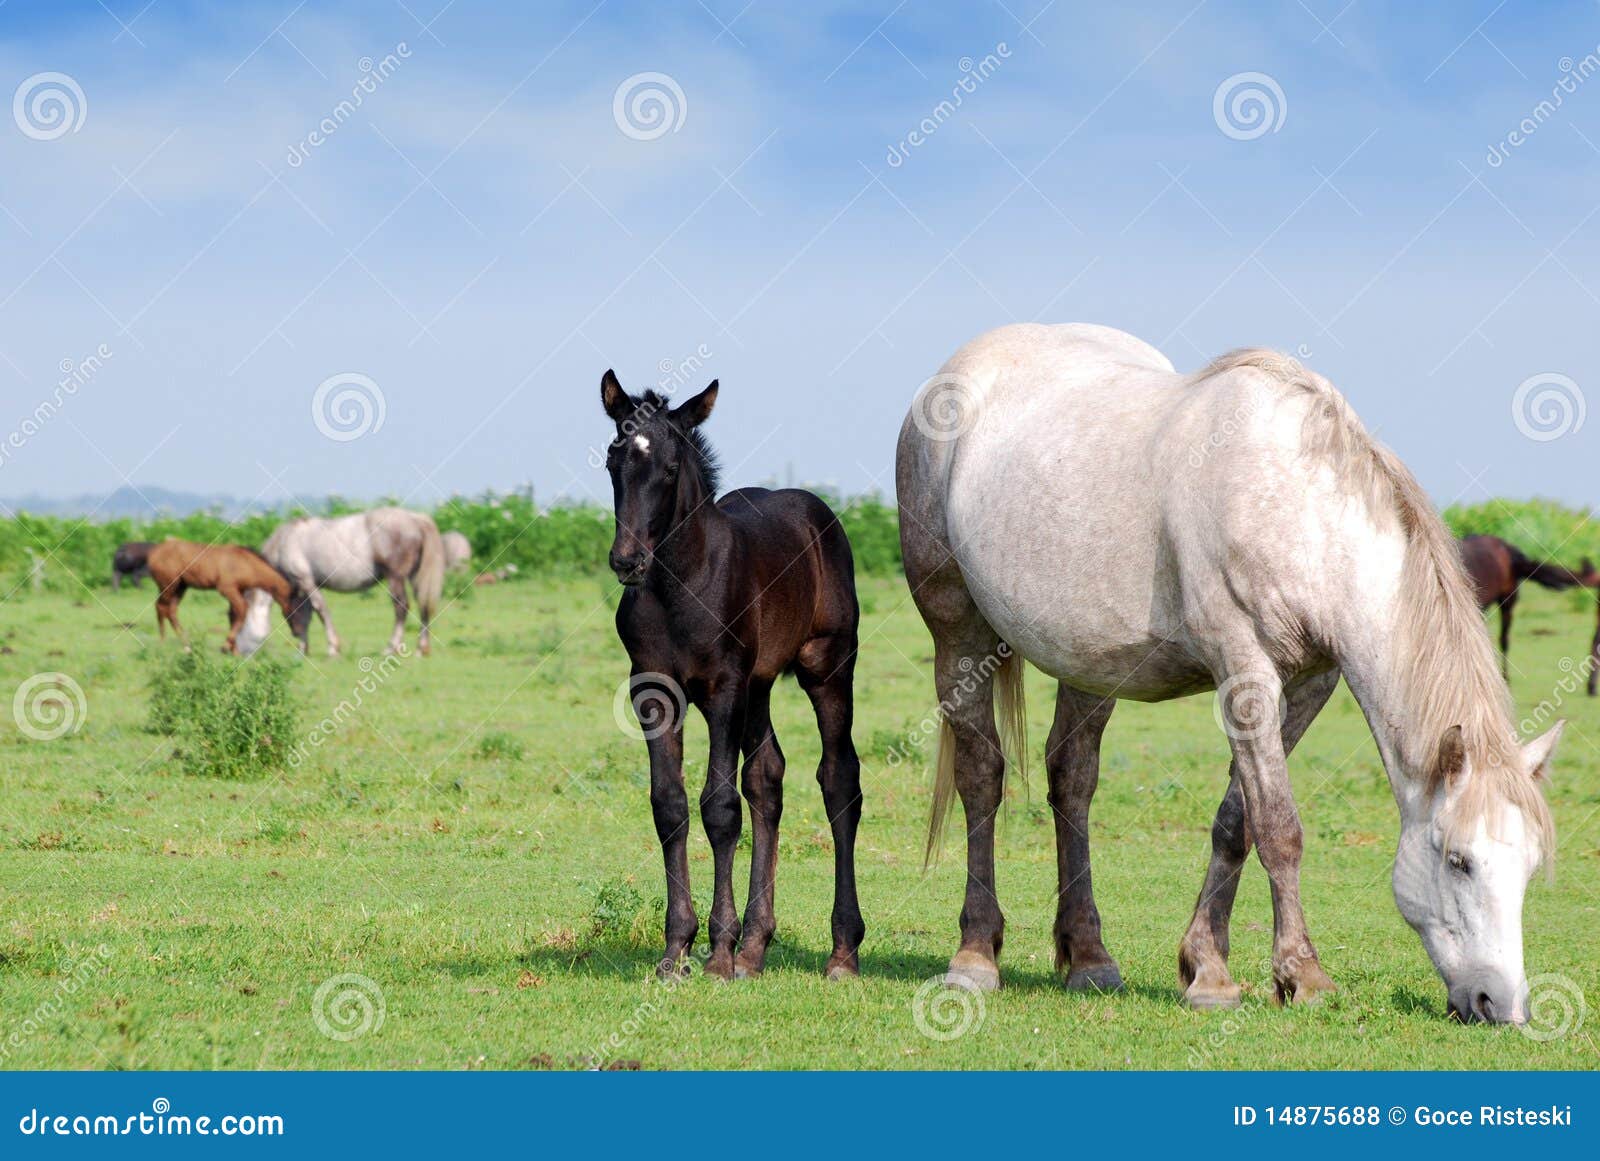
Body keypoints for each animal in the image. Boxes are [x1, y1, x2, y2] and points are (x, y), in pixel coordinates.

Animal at [146, 539, 308, 655]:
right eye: (297, 609)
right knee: (161, 607)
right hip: (169, 585)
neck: (247, 563)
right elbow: (242, 611)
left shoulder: (238, 591)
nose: (298, 632)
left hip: (180, 587)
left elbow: (235, 615)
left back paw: (185, 645)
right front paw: (226, 647)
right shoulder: (227, 589)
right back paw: (164, 641)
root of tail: (154, 553)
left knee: (170, 611)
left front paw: (233, 650)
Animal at [252, 508, 445, 656]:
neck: (284, 541)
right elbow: (306, 614)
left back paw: (391, 648)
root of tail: (415, 518)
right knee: (423, 605)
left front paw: (332, 648)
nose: (295, 633)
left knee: (401, 608)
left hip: (395, 578)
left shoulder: (305, 581)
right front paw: (303, 649)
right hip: (415, 577)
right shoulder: (303, 587)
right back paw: (421, 648)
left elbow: (320, 610)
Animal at [600, 369, 865, 981]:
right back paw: (755, 947)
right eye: (611, 460)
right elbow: (670, 806)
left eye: (671, 467)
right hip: (759, 687)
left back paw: (841, 951)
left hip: (827, 666)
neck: (681, 585)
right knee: (767, 778)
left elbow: (719, 808)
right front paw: (677, 948)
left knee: (839, 779)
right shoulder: (654, 692)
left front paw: (717, 950)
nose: (627, 560)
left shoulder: (723, 690)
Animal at [897, 324, 1561, 1024]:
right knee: (981, 777)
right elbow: (1279, 827)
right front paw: (1302, 974)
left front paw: (1206, 968)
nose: (1501, 1003)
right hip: (956, 629)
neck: (1298, 510)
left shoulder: (1308, 685)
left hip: (1086, 661)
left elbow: (1236, 822)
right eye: (1459, 861)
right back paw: (975, 956)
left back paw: (1091, 959)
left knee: (1071, 778)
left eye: (1529, 866)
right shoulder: (1245, 676)